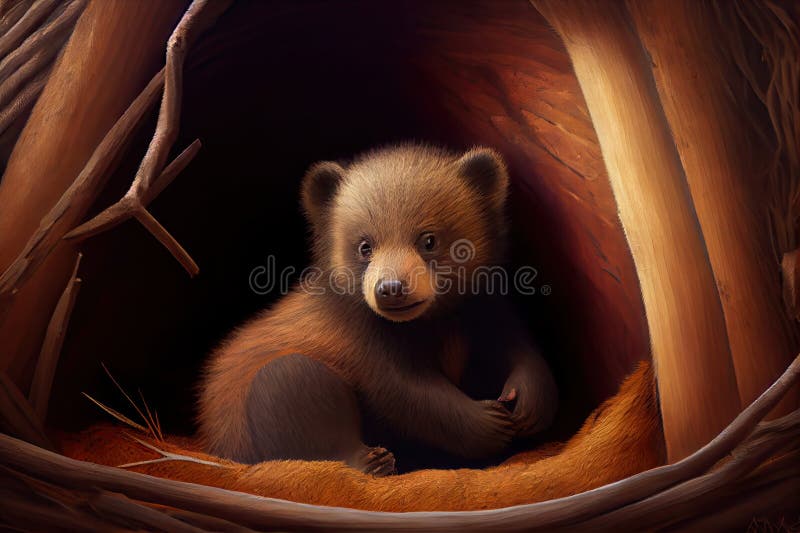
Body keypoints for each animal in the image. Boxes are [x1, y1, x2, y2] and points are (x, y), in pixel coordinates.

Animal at [197, 144, 557, 475]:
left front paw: (529, 400)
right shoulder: (360, 334)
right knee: (289, 379)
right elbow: (406, 393)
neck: (429, 322)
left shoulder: (477, 307)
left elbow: (511, 342)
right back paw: (371, 461)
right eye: (364, 246)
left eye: (428, 240)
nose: (391, 290)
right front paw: (490, 423)